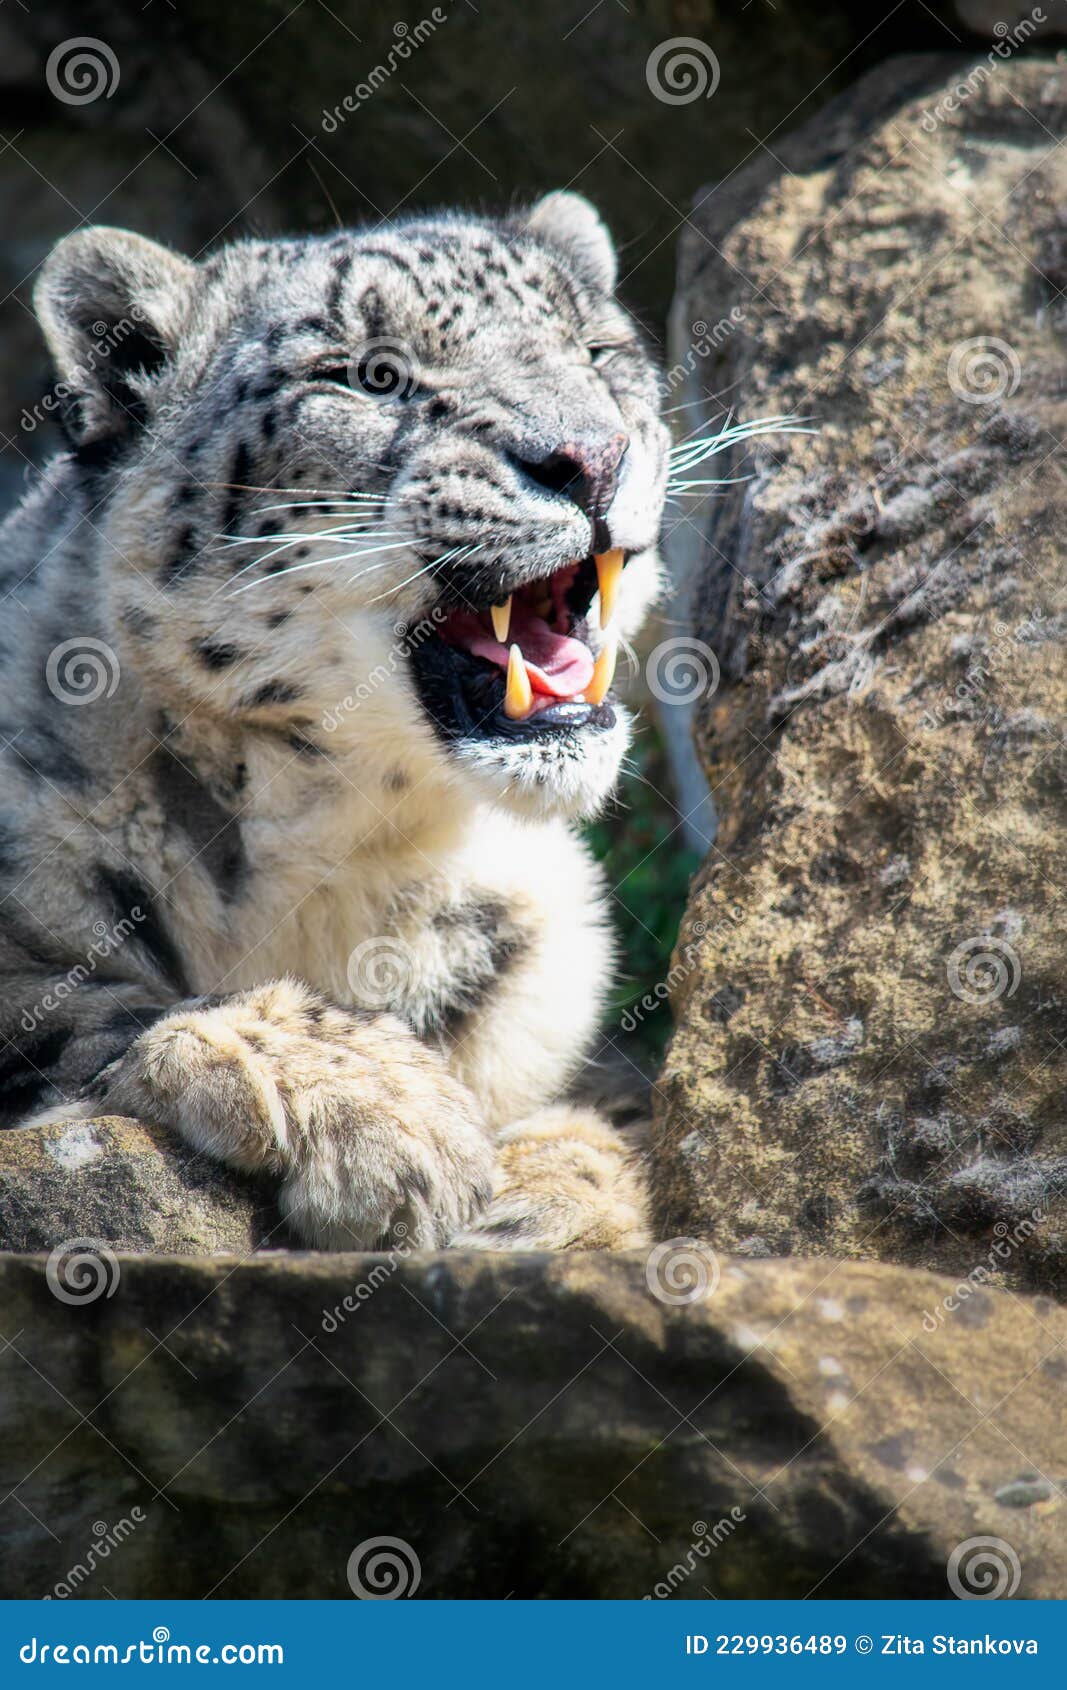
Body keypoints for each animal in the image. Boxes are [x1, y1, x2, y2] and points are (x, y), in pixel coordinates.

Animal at [0, 191, 670, 1252]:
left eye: (598, 350)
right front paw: (380, 1113)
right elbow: (72, 1000)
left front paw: (549, 1195)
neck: (357, 841)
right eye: (372, 375)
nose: (593, 460)